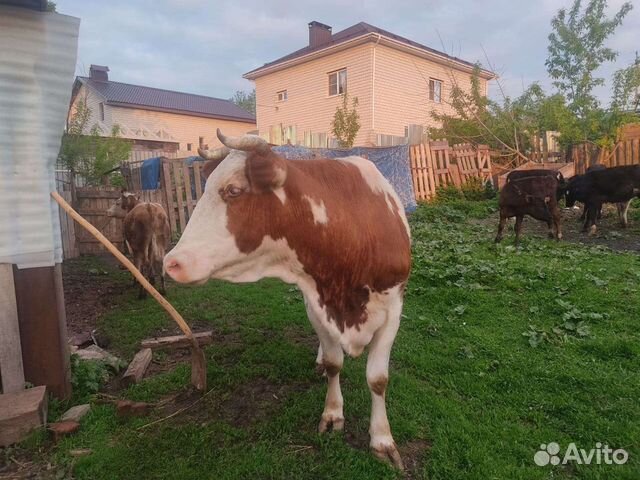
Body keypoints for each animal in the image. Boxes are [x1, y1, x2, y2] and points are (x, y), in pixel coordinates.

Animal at [163, 129, 411, 469]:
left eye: (234, 190)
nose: (171, 262)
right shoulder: (317, 303)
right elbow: (334, 363)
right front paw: (333, 414)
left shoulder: (393, 310)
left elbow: (377, 379)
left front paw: (382, 440)